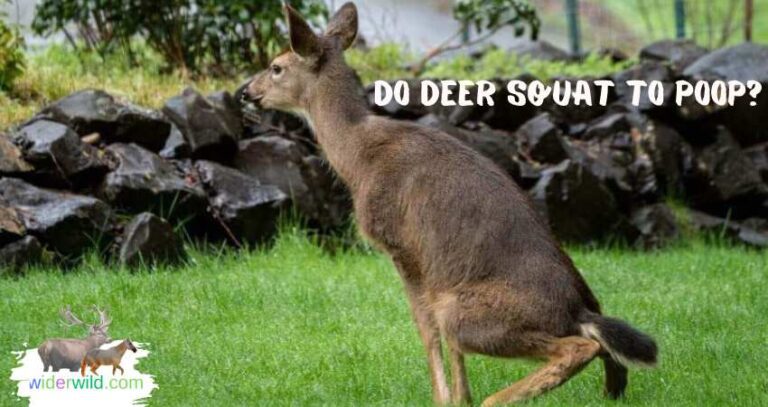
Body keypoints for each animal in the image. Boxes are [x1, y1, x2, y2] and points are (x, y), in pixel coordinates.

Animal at [239, 3, 658, 405]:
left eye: (276, 67)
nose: (245, 92)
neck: (357, 156)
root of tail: (578, 310)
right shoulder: (434, 266)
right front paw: (460, 397)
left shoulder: (400, 243)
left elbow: (425, 327)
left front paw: (443, 398)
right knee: (607, 354)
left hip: (466, 313)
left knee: (579, 347)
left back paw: (496, 400)